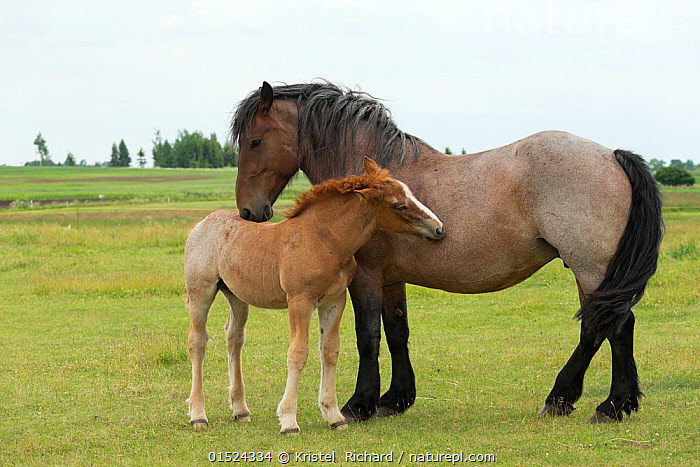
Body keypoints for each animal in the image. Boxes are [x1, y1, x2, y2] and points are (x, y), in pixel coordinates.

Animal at [184, 157, 444, 434]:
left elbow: (329, 351)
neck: (324, 241)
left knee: (234, 337)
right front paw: (289, 420)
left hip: (237, 296)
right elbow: (298, 353)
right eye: (400, 205)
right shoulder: (300, 300)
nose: (439, 228)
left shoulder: (334, 301)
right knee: (197, 341)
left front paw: (334, 416)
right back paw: (198, 415)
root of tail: (201, 224)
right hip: (201, 292)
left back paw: (240, 410)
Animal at [230, 81, 664, 424]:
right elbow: (397, 331)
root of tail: (611, 155)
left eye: (255, 141)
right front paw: (395, 399)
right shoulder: (391, 279)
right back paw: (614, 403)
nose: (250, 212)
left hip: (590, 269)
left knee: (607, 327)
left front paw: (359, 404)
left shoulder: (365, 275)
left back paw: (589, 403)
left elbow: (367, 335)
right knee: (613, 326)